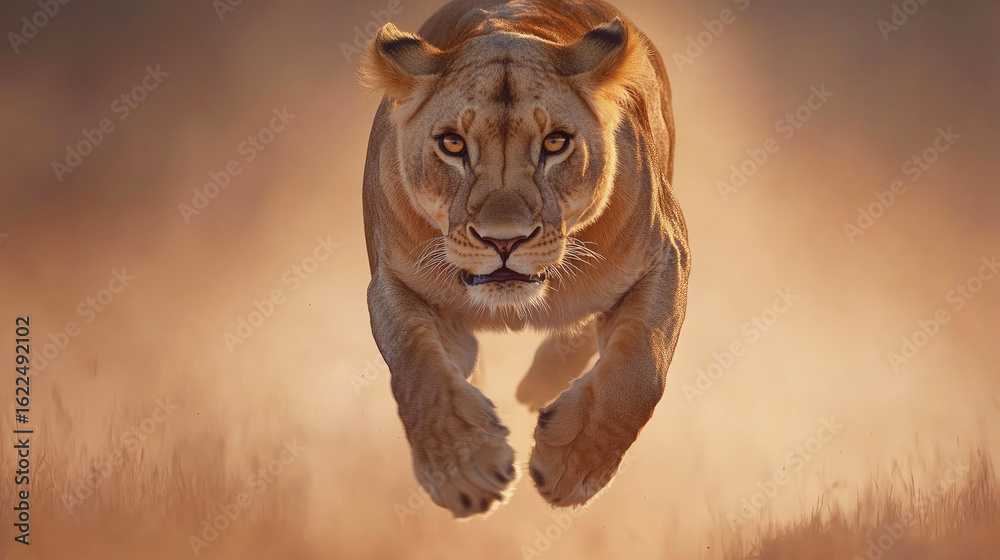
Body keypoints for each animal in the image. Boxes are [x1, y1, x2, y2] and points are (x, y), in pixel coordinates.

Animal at [360, 0, 690, 517]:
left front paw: (571, 465)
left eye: (555, 143)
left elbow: (639, 369)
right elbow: (417, 369)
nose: (504, 241)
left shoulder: (666, 255)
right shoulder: (392, 281)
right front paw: (463, 472)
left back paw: (541, 385)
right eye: (452, 144)